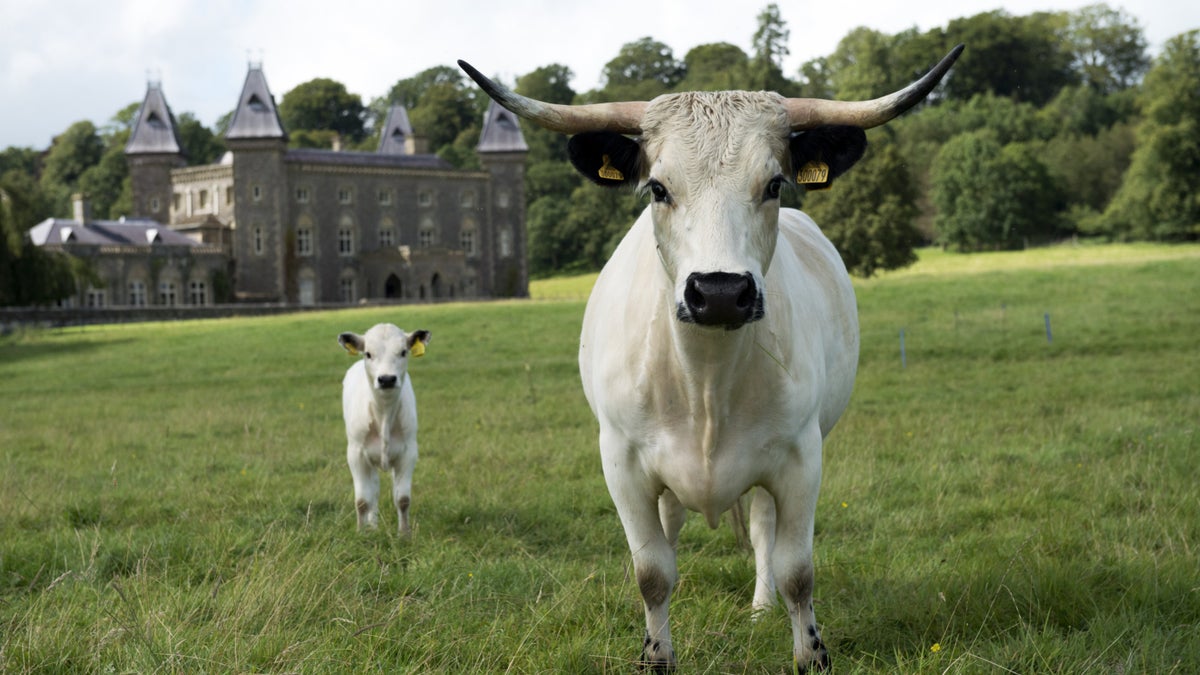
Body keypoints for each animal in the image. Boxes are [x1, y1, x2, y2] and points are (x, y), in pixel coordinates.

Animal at [338, 323, 431, 535]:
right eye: (368, 353)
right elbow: (362, 501)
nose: (387, 379)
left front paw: (404, 534)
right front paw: (361, 533)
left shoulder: (408, 452)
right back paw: (372, 526)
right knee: (372, 492)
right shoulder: (356, 454)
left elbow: (402, 499)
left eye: (403, 352)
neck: (384, 416)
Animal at [460, 44, 961, 672]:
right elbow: (652, 571)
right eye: (657, 188)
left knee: (764, 532)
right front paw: (656, 656)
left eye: (774, 184)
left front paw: (811, 655)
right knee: (671, 531)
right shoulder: (622, 462)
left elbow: (798, 571)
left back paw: (760, 607)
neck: (705, 379)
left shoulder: (801, 458)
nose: (720, 291)